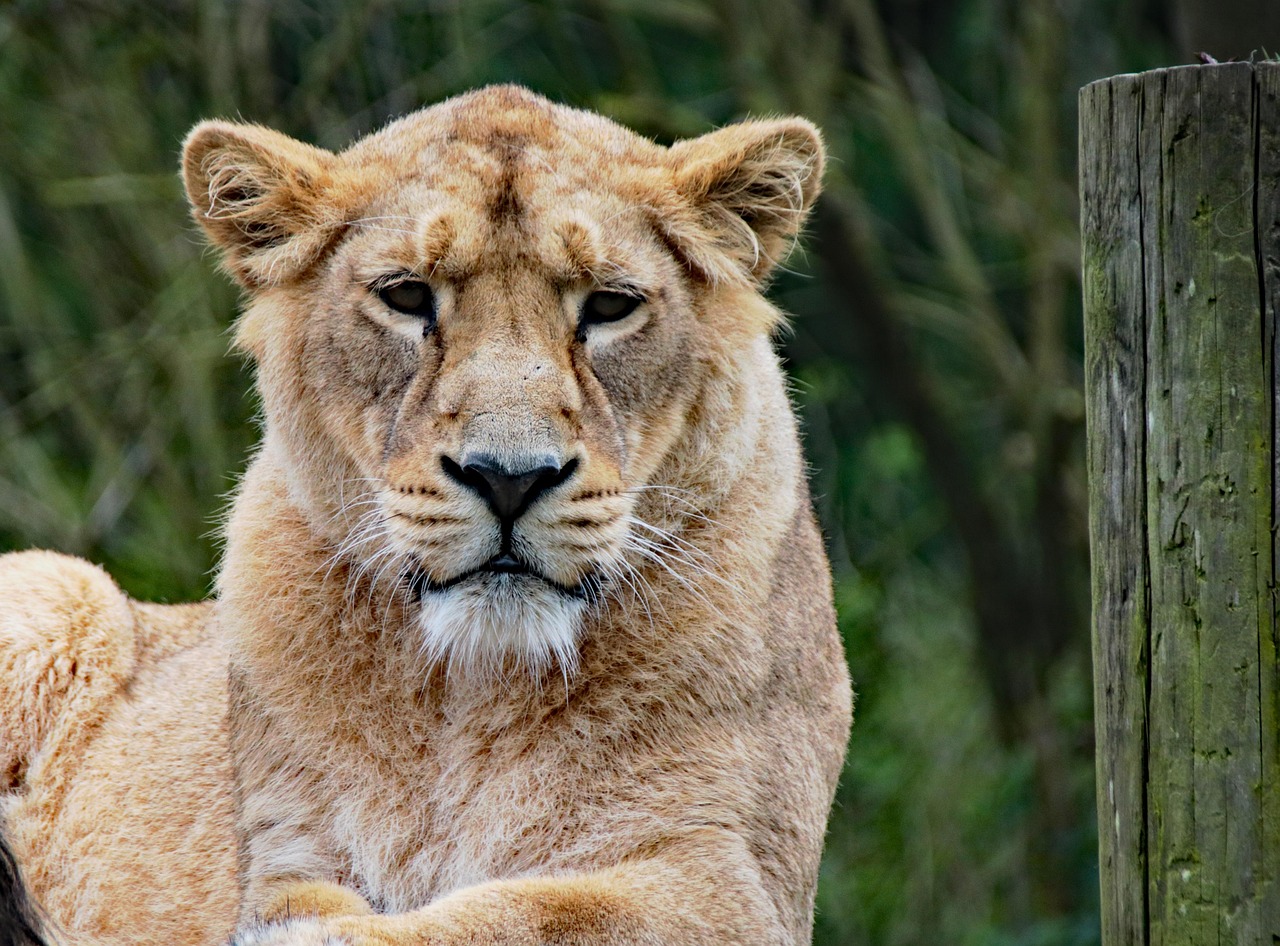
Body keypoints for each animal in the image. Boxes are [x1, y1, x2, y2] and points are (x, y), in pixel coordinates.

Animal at [0, 85, 852, 946]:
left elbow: (535, 909)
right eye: (406, 296)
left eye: (611, 305)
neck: (469, 696)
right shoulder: (285, 848)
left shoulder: (735, 878)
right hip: (56, 585)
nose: (509, 478)